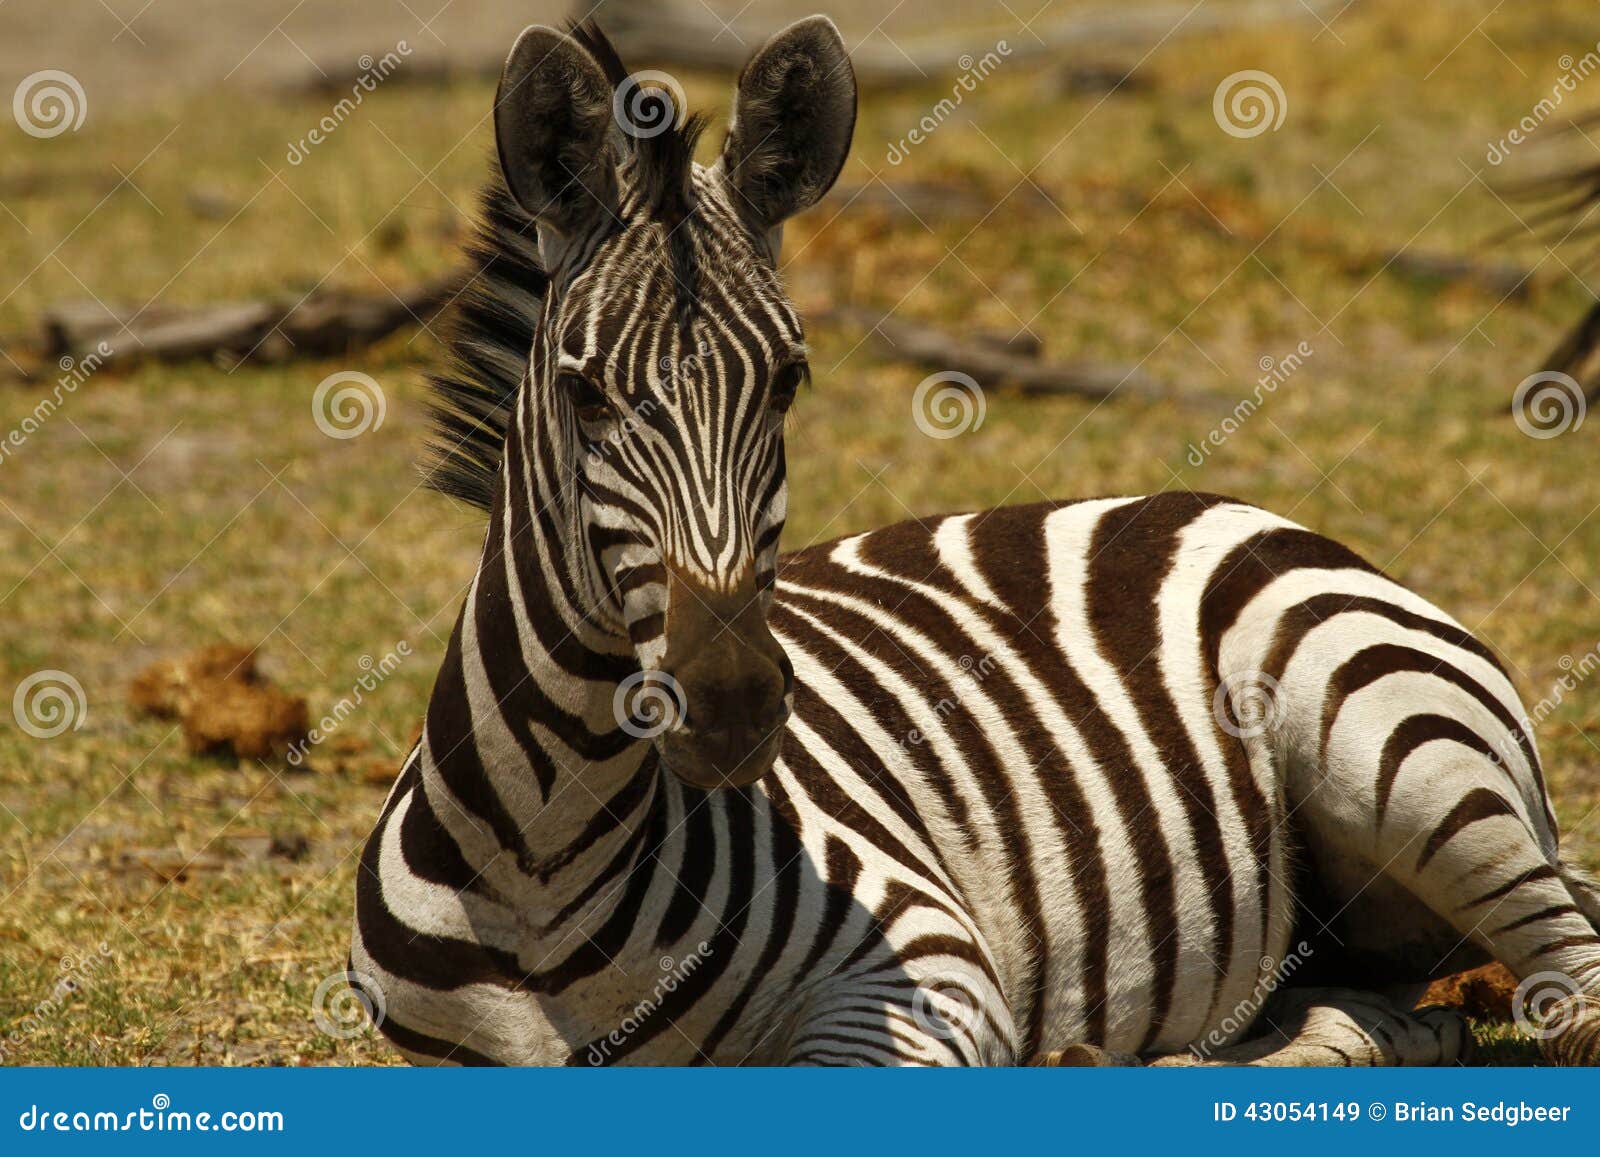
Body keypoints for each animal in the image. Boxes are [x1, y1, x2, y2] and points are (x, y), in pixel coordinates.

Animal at [350, 16, 1600, 1067]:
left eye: (789, 381)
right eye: (585, 393)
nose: (734, 707)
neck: (541, 853)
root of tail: (1224, 506)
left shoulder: (926, 966)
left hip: (1406, 749)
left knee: (1566, 987)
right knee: (1382, 1014)